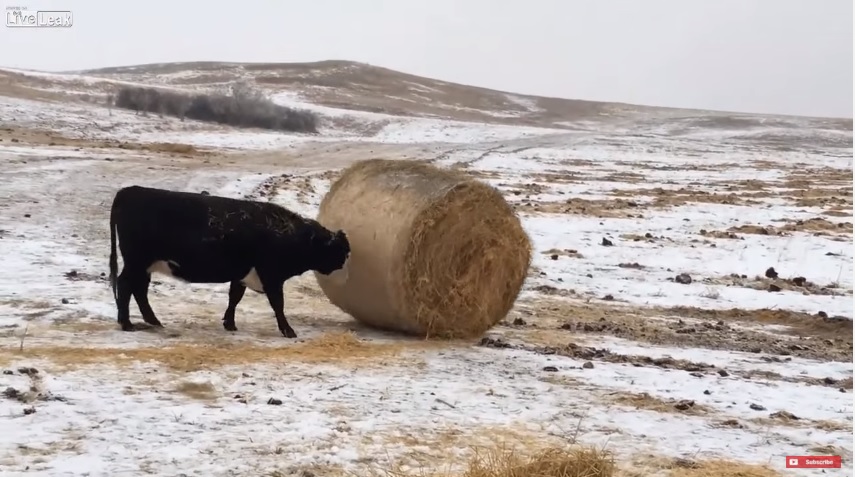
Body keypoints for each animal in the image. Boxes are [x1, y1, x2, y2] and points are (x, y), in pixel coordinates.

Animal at [107, 185, 351, 338]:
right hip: (136, 262)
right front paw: (288, 331)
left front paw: (229, 324)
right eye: (338, 250)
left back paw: (152, 321)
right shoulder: (271, 275)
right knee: (126, 285)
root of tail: (130, 191)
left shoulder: (242, 274)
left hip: (144, 265)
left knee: (139, 289)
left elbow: (235, 298)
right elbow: (277, 304)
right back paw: (126, 323)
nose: (344, 264)